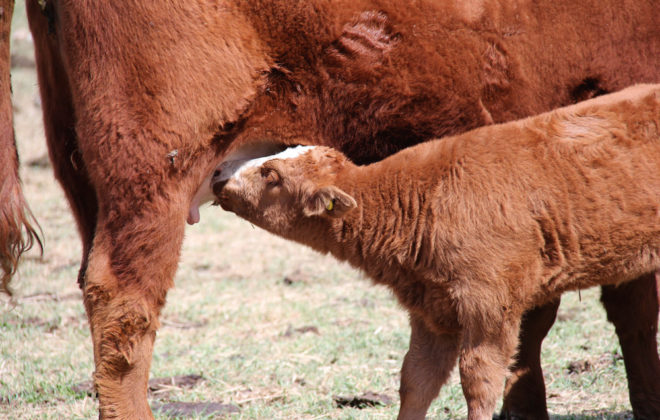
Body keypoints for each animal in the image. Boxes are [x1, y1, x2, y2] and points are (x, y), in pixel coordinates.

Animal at [211, 84, 660, 420]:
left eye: (271, 174)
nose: (217, 172)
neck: (421, 198)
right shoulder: (432, 312)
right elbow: (416, 381)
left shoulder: (490, 307)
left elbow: (479, 381)